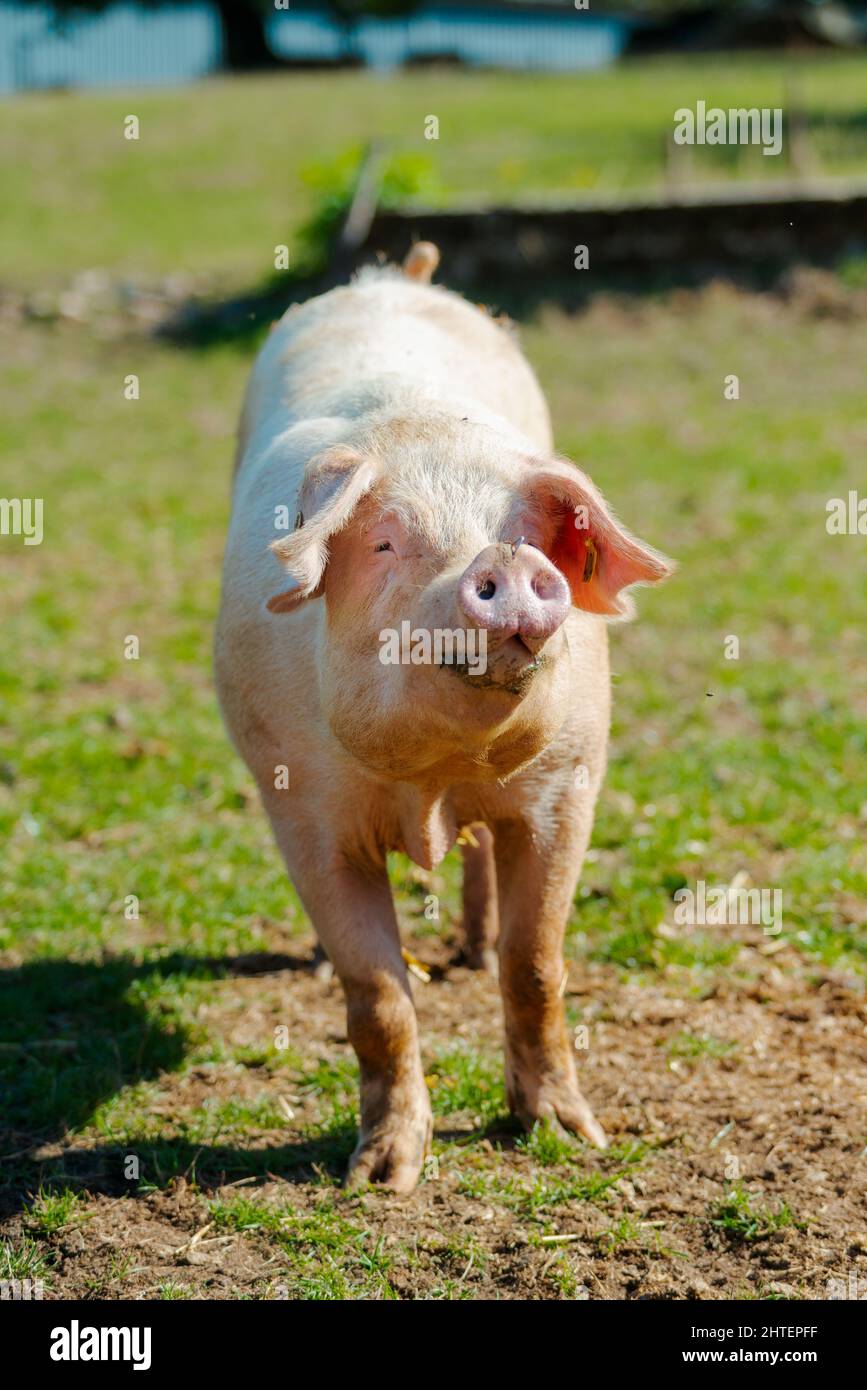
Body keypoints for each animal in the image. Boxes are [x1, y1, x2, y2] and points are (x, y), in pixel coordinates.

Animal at [215, 243, 673, 1192]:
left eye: (526, 534)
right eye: (387, 543)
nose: (503, 560)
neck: (436, 774)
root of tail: (397, 279)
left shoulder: (570, 782)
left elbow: (536, 965)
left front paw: (571, 1138)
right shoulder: (298, 804)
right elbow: (375, 992)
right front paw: (380, 1178)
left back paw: (473, 949)